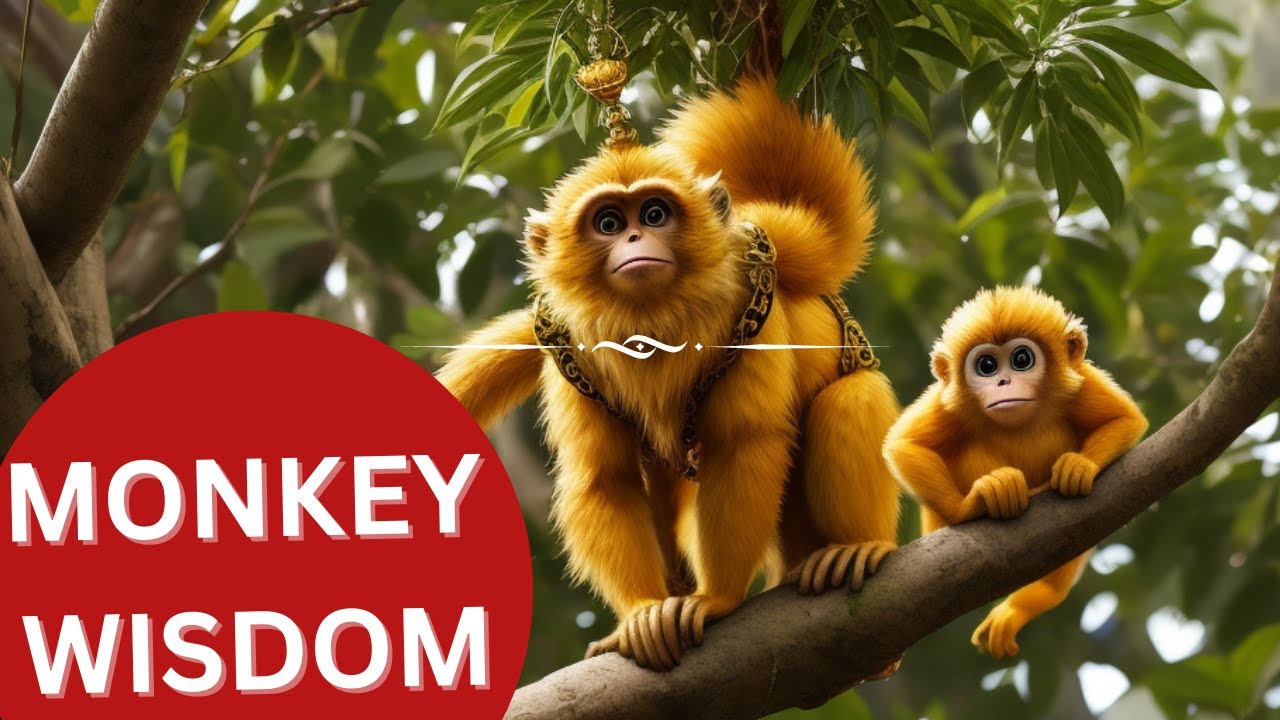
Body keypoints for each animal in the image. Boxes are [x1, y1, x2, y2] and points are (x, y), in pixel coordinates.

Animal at [435, 76, 901, 670]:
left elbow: (743, 441)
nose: (635, 240)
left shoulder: (751, 312)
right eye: (609, 223)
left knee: (849, 396)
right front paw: (642, 613)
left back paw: (856, 547)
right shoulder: (565, 345)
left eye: (654, 215)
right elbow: (602, 477)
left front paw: (716, 599)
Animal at [882, 286, 1148, 659]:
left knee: (1055, 585)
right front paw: (973, 504)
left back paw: (1019, 607)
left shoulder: (1080, 380)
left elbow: (1126, 418)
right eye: (987, 366)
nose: (1004, 381)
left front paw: (1080, 466)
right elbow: (903, 446)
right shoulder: (947, 400)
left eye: (1022, 359)